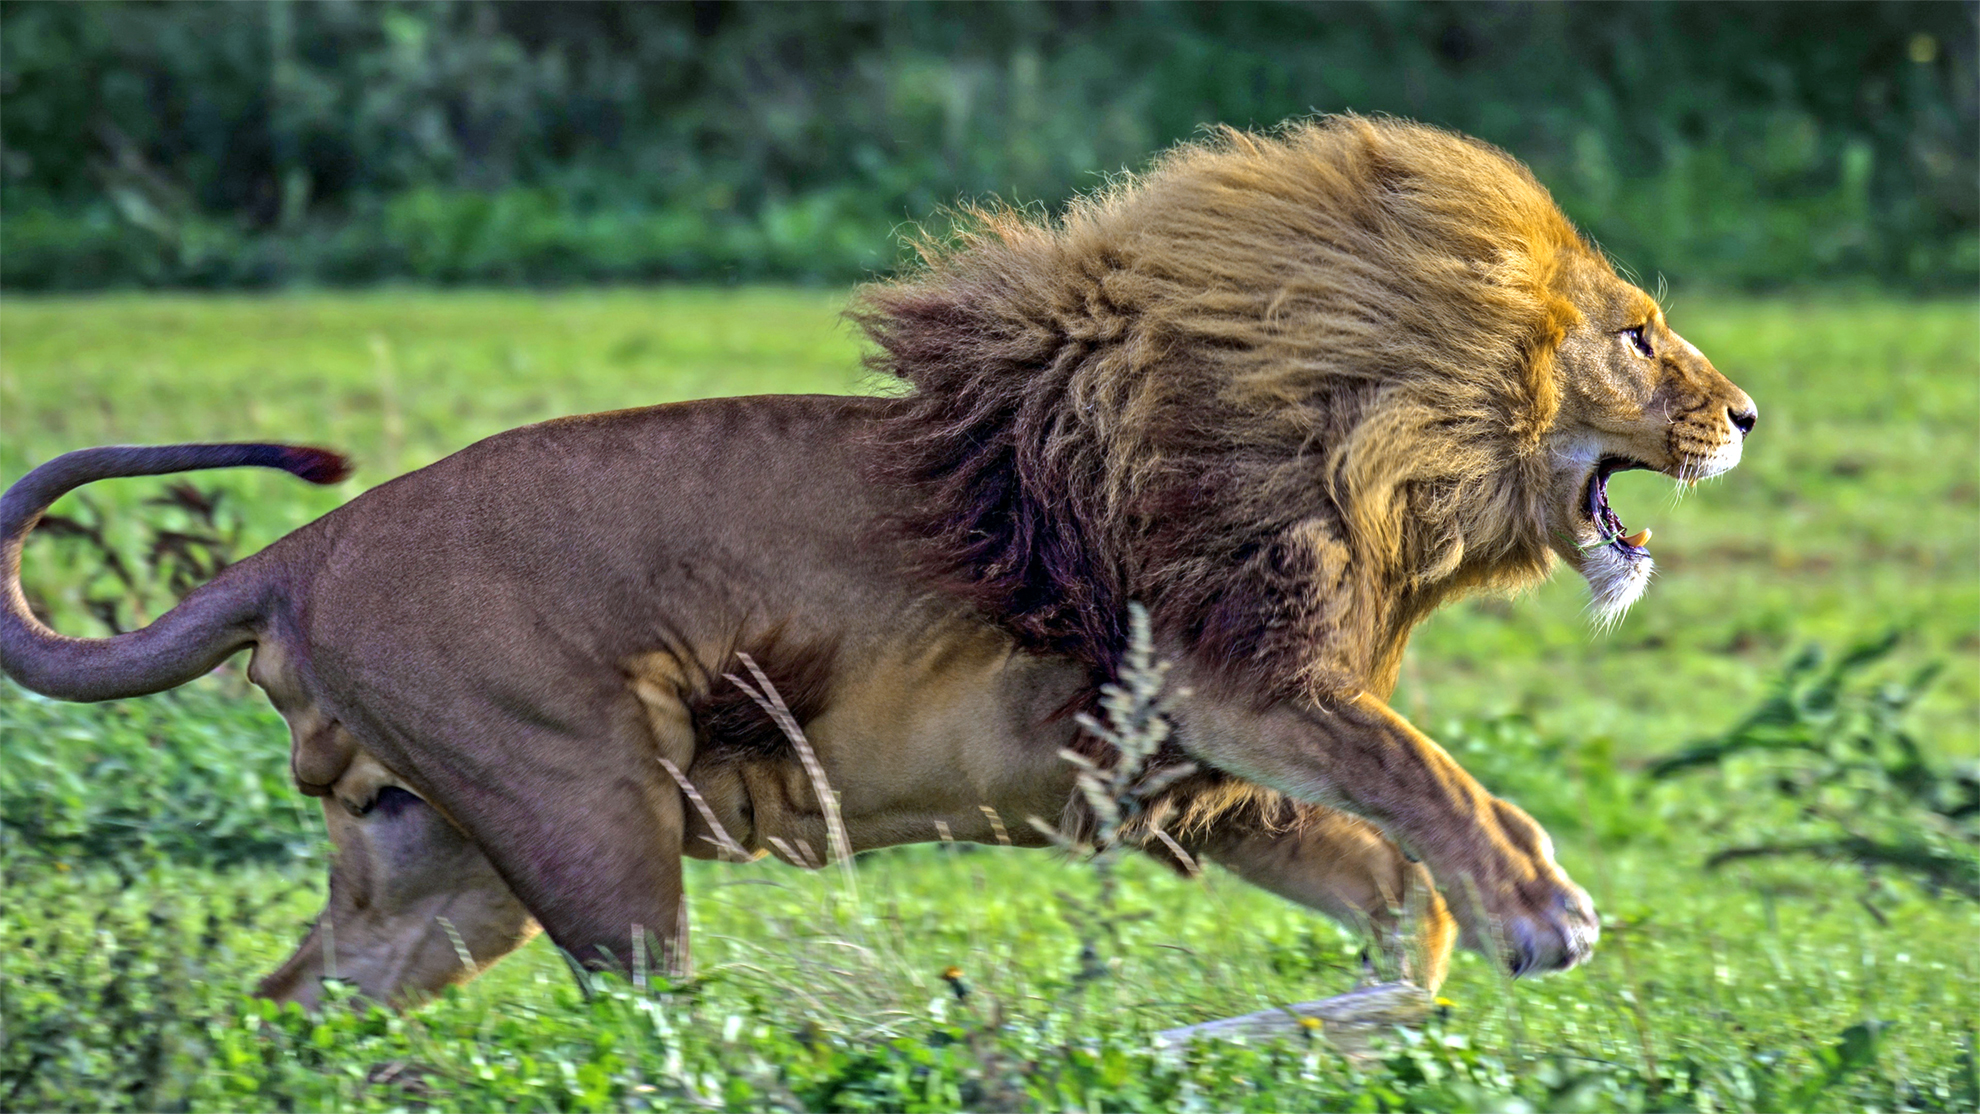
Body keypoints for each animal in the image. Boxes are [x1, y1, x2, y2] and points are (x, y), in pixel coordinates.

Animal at [0, 116, 1755, 1009]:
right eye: (1639, 334)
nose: (1743, 412)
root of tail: (302, 546)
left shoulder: (1181, 774)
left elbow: (1398, 905)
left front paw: (1317, 1031)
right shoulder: (1233, 679)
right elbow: (1433, 778)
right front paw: (1545, 913)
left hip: (438, 864)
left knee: (296, 1002)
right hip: (587, 813)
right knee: (644, 1020)